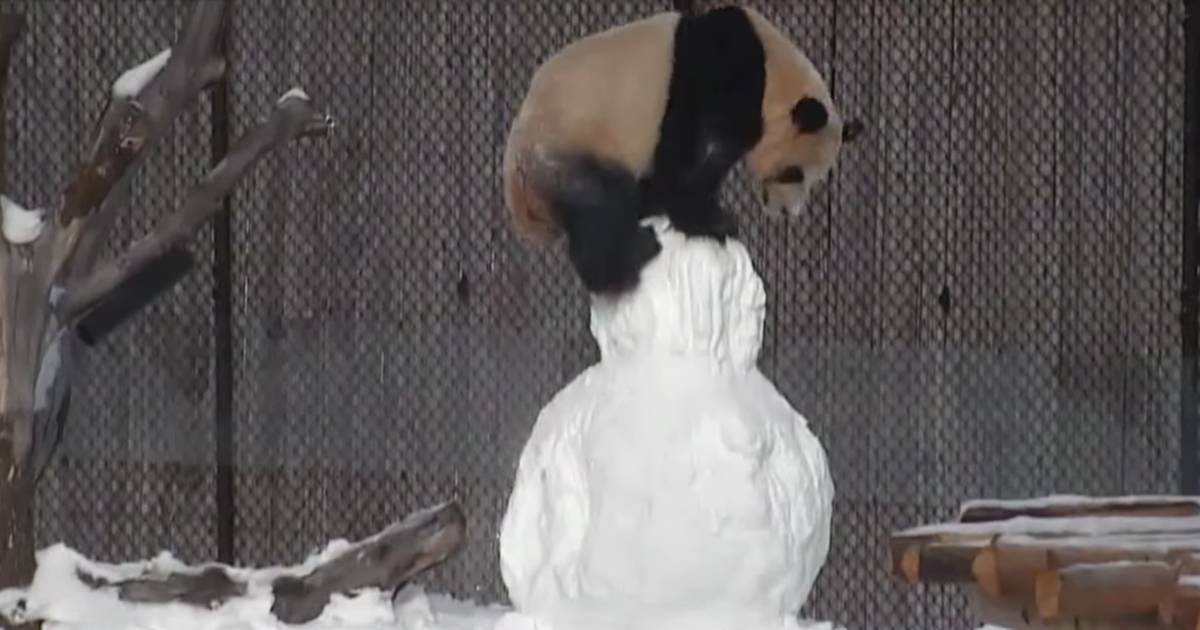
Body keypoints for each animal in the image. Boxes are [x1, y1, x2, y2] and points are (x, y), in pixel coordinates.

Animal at [502, 4, 862, 295]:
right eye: (793, 173)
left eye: (813, 181)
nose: (788, 212)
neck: (774, 73)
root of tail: (520, 195)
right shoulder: (723, 74)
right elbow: (692, 153)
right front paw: (710, 220)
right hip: (569, 151)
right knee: (601, 205)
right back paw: (633, 257)